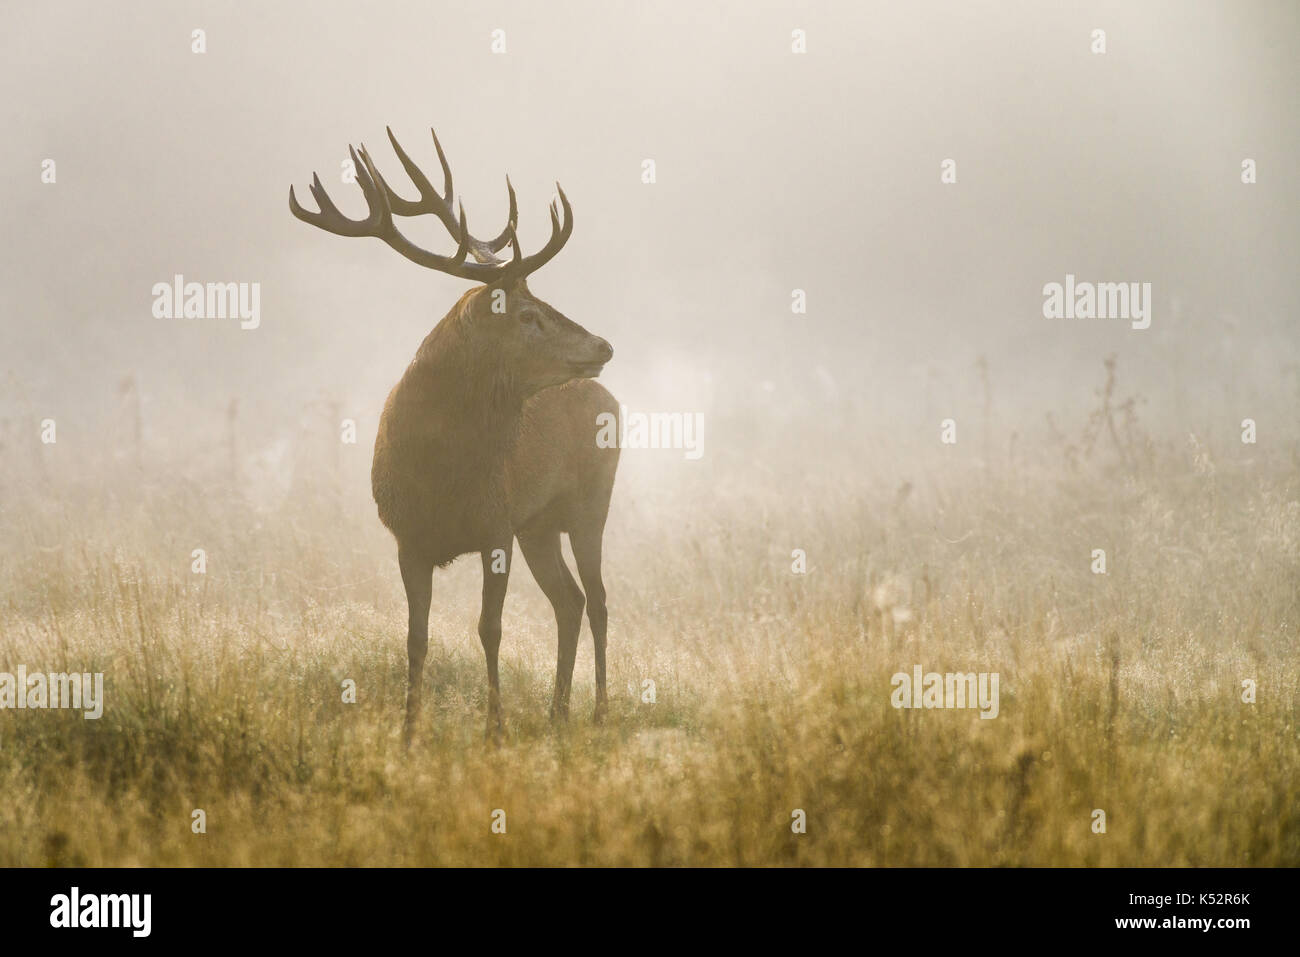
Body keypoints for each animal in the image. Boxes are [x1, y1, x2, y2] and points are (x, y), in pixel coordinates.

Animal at [289, 128, 619, 744]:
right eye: (527, 315)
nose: (603, 345)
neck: (440, 471)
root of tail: (611, 397)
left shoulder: (496, 526)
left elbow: (489, 628)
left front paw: (495, 729)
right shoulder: (407, 538)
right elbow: (415, 637)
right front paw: (407, 732)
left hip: (591, 504)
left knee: (600, 600)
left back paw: (600, 711)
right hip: (538, 525)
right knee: (570, 600)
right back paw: (557, 711)